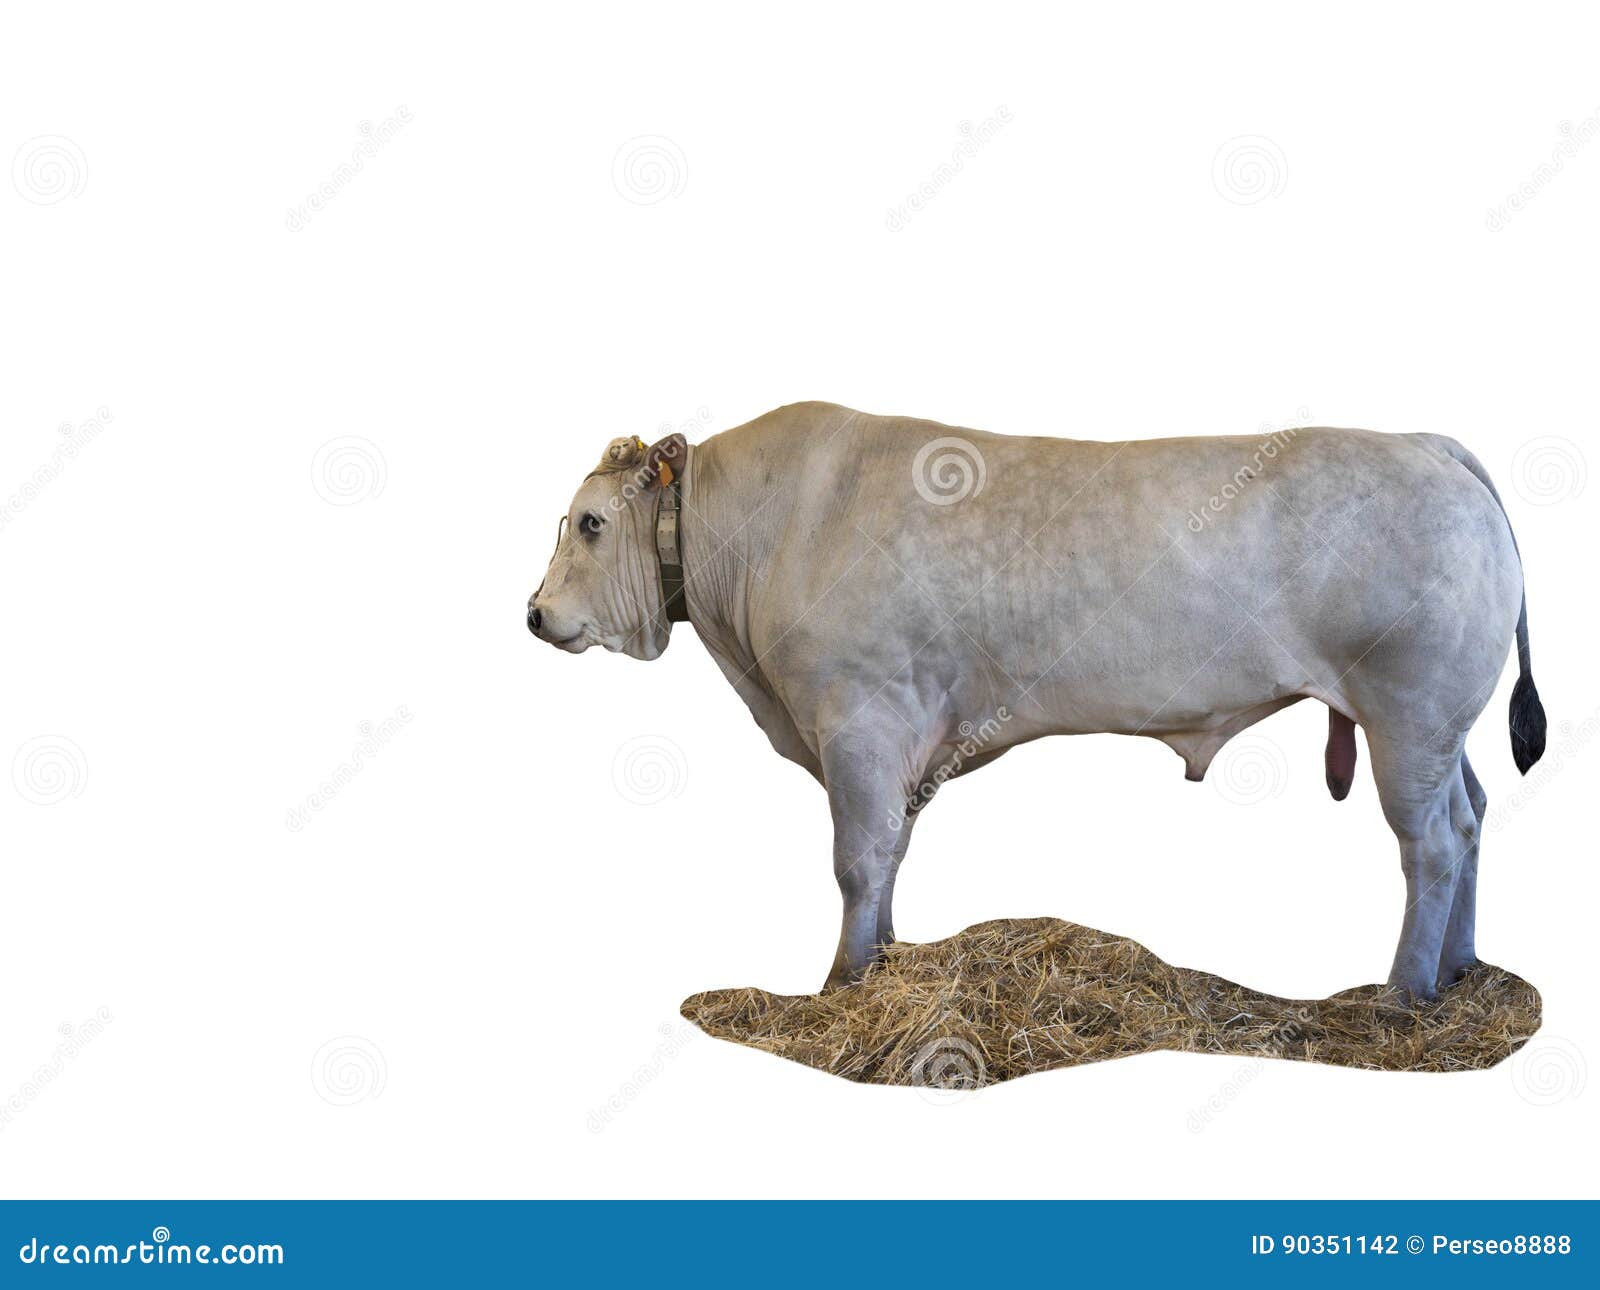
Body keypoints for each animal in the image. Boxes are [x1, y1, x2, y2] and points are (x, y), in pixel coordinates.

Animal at [527, 402, 1546, 1001]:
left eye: (590, 522)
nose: (534, 614)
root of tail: (1427, 443)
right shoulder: (902, 739)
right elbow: (891, 855)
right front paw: (886, 956)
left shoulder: (858, 719)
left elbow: (857, 860)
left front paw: (842, 982)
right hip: (1439, 725)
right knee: (1474, 815)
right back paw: (1459, 970)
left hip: (1409, 712)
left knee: (1432, 842)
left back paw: (1405, 993)